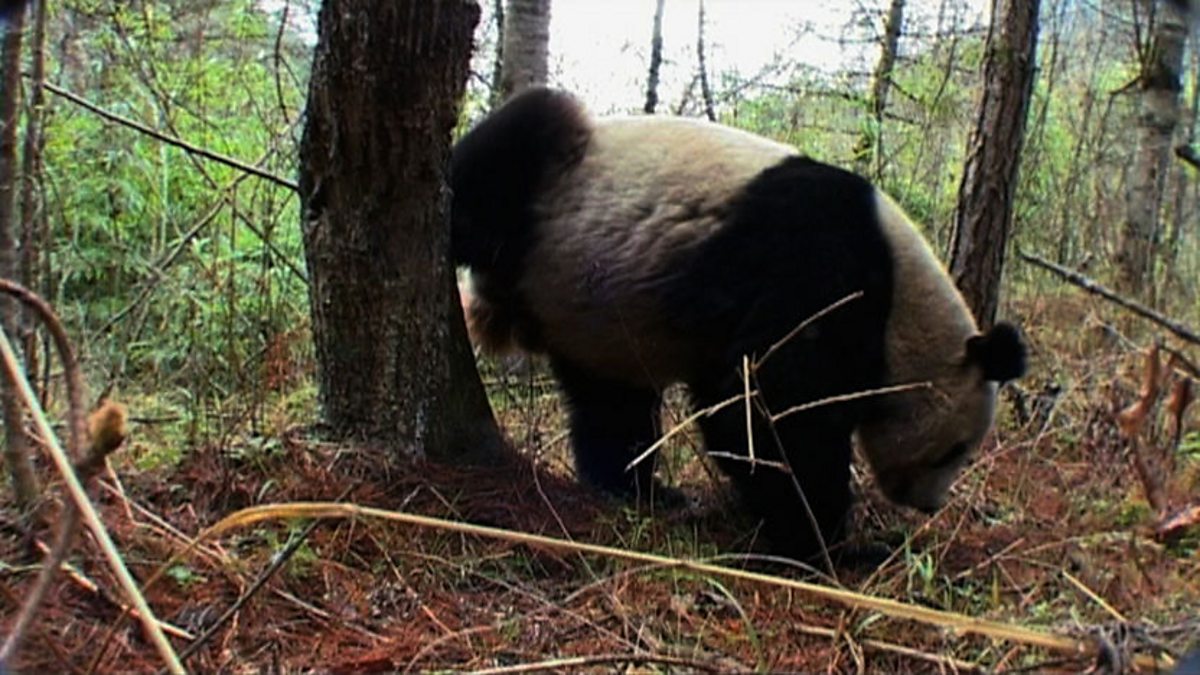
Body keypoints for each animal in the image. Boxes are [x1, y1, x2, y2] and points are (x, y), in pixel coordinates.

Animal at [450, 87, 1027, 564]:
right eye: (956, 449)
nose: (930, 504)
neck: (901, 306)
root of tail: (501, 296)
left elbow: (732, 401)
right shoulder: (820, 268)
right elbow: (766, 406)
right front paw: (831, 543)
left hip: (596, 319)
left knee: (611, 405)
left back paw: (645, 492)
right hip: (553, 177)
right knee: (506, 148)